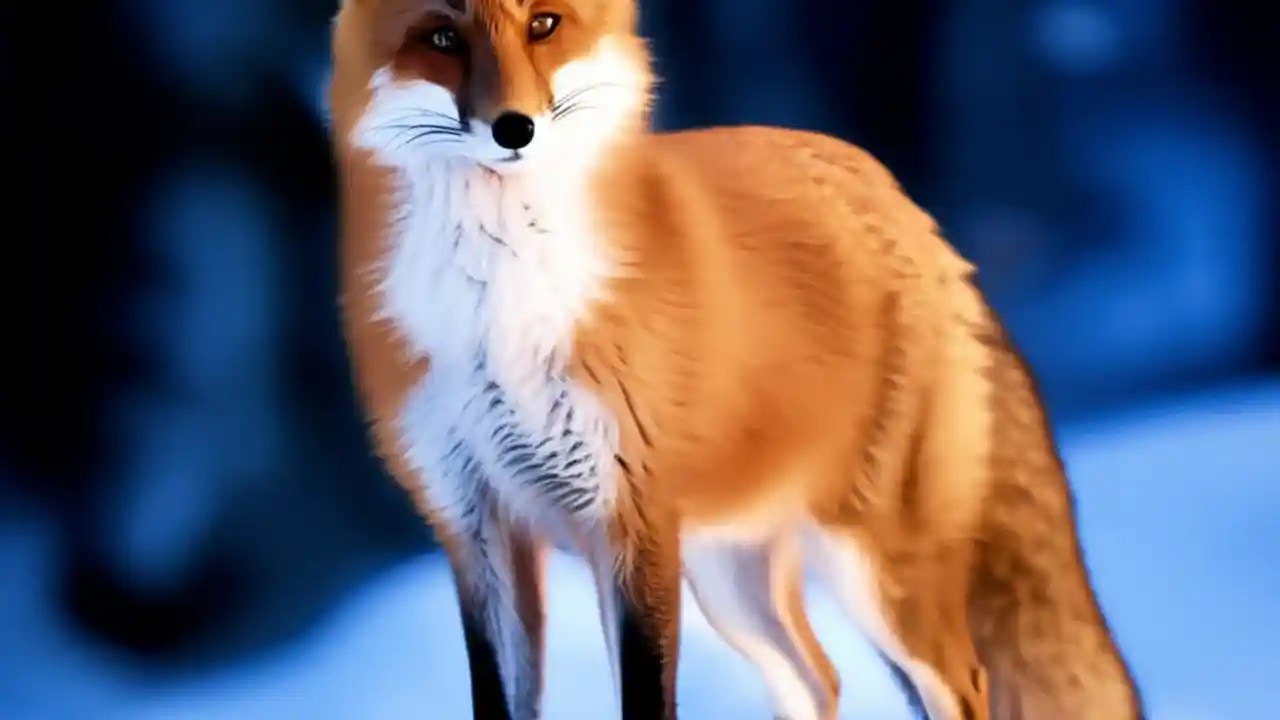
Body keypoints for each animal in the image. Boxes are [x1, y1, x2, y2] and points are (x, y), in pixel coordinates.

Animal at [326, 1, 1143, 718]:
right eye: (441, 36)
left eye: (545, 24)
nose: (514, 128)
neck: (497, 317)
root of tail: (892, 191)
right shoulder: (472, 525)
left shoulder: (629, 522)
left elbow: (645, 702)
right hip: (728, 579)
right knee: (818, 680)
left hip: (871, 568)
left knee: (961, 682)